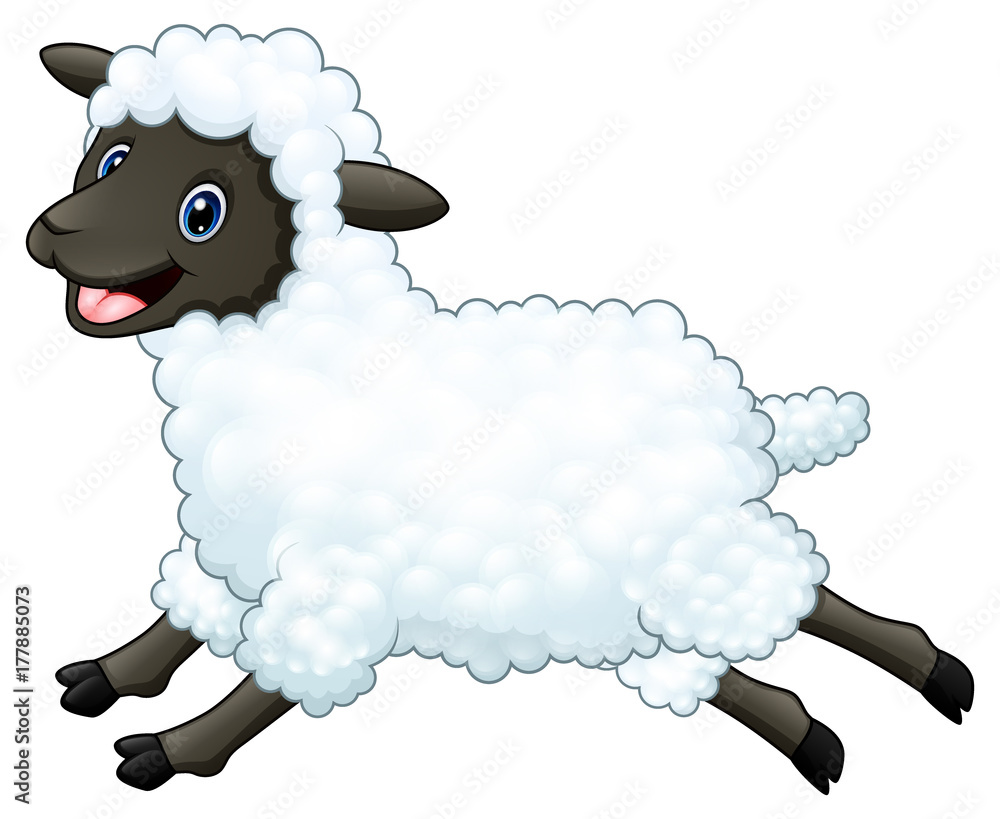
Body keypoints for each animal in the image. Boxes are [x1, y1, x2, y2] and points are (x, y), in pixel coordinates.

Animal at [26, 24, 974, 796]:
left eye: (203, 210)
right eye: (111, 155)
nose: (55, 233)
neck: (311, 346)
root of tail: (752, 417)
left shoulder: (334, 571)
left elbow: (268, 681)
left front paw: (171, 749)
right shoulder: (236, 546)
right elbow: (176, 619)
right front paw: (106, 673)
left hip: (686, 540)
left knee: (806, 599)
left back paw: (935, 670)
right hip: (633, 591)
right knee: (731, 659)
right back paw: (814, 733)